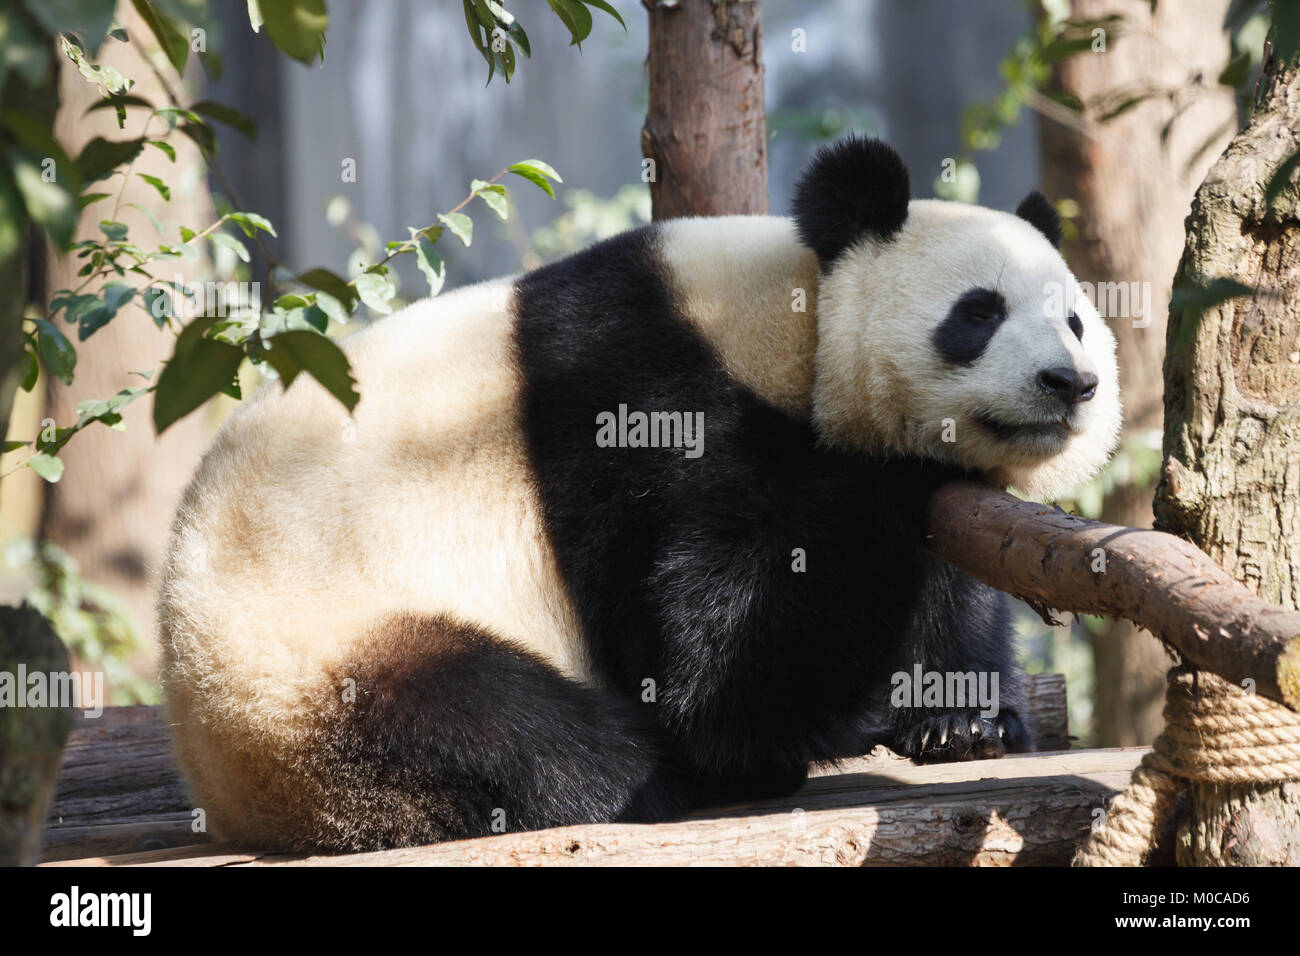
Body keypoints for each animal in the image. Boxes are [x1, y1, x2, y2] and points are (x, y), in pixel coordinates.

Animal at [158, 136, 1121, 852]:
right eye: (979, 312)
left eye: (1075, 318)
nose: (1069, 383)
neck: (787, 316)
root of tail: (224, 783)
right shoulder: (640, 397)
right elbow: (707, 643)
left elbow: (939, 571)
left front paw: (964, 722)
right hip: (318, 654)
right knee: (502, 727)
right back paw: (680, 773)